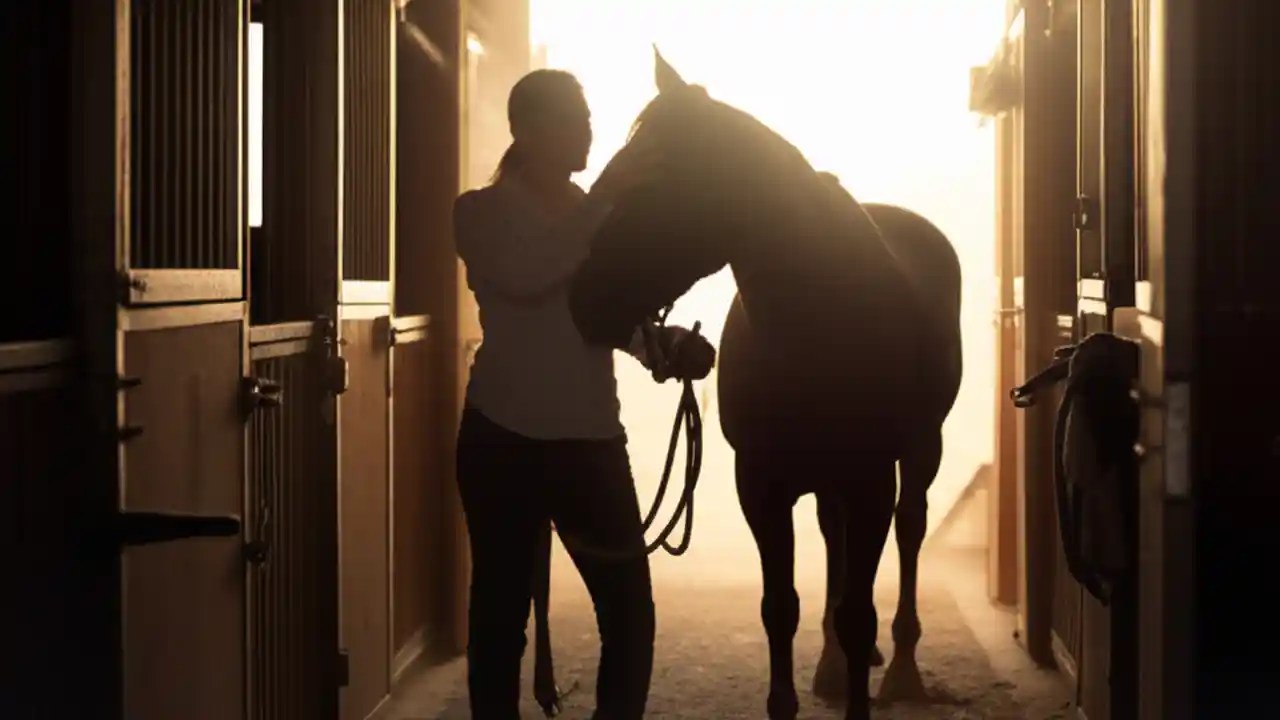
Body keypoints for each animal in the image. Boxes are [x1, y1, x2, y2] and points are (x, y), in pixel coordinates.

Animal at [534, 51, 963, 720]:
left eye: (653, 179)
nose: (585, 301)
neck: (815, 325)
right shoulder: (761, 484)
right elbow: (779, 608)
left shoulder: (869, 479)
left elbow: (860, 612)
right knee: (833, 540)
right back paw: (833, 667)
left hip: (921, 451)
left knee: (910, 529)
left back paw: (901, 670)